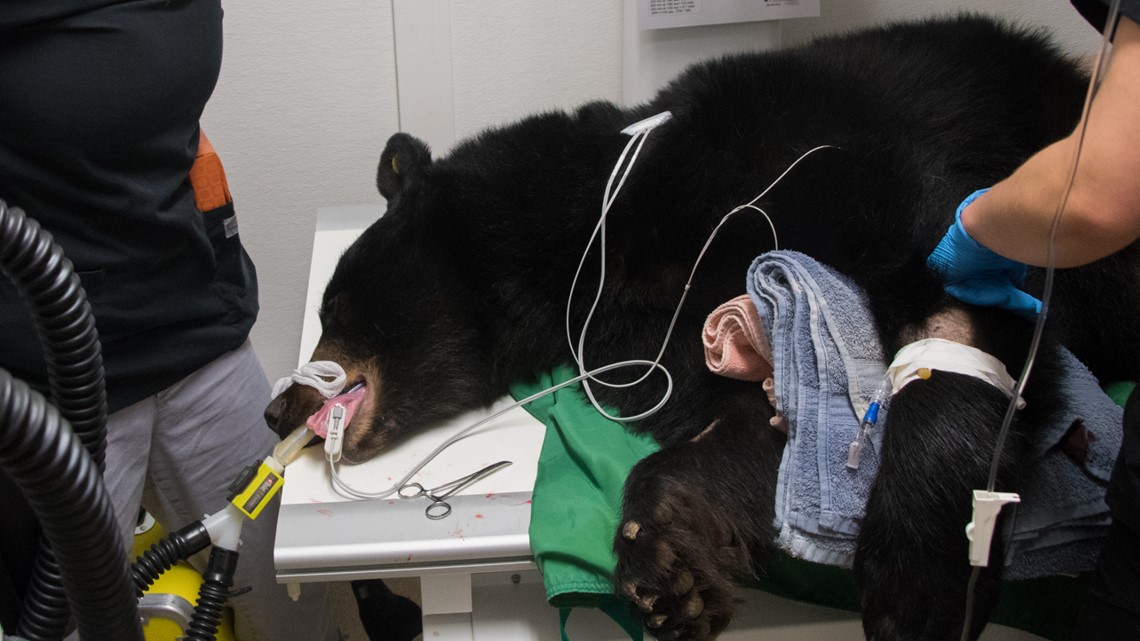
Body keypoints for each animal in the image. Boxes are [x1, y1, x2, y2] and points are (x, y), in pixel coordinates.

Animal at [265, 15, 1140, 641]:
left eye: (334, 310)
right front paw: (667, 567)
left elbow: (953, 281)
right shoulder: (668, 330)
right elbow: (753, 422)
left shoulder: (818, 164)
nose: (277, 410)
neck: (600, 232)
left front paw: (921, 580)